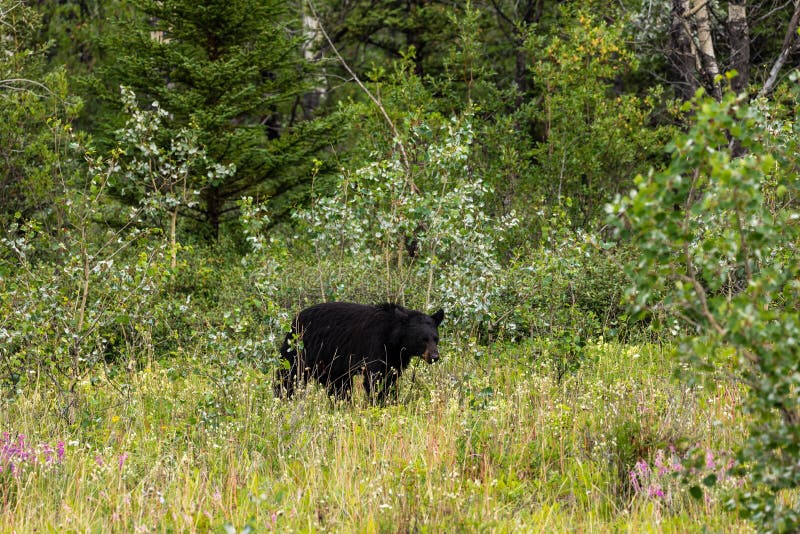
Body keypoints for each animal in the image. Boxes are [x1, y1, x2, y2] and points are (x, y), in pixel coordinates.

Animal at [274, 302, 444, 402]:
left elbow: (391, 379)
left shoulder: (395, 358)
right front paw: (377, 402)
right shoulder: (375, 346)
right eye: (423, 339)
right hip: (300, 348)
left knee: (338, 386)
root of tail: (296, 317)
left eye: (435, 338)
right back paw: (283, 398)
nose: (434, 356)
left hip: (331, 364)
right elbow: (374, 379)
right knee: (288, 375)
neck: (393, 338)